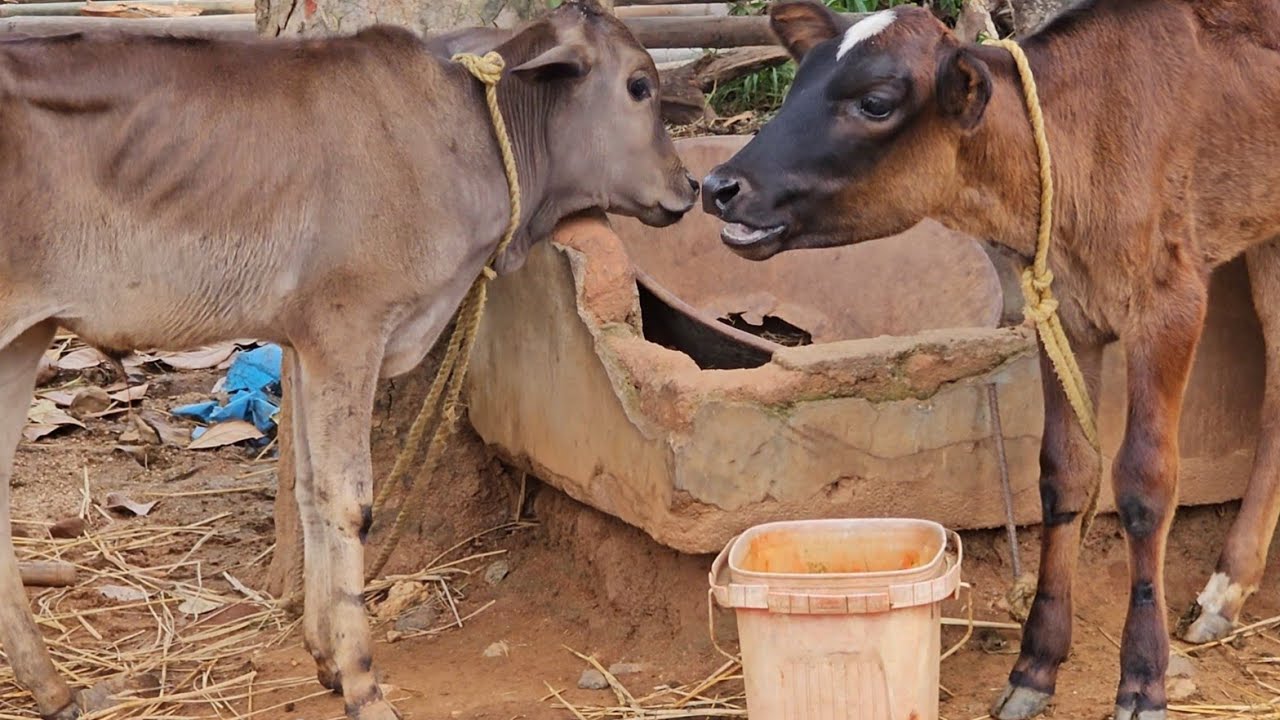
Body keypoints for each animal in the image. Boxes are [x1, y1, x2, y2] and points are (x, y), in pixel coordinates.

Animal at [0, 2, 698, 717]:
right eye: (639, 86)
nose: (690, 186)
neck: (467, 129)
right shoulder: (348, 331)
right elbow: (348, 502)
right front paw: (363, 682)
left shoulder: (302, 342)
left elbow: (307, 487)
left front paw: (325, 658)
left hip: (24, 339)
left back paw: (53, 689)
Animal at [700, 1, 1280, 718]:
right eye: (796, 82)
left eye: (875, 101)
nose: (718, 185)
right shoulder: (1062, 307)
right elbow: (1064, 473)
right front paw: (1035, 666)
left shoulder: (1170, 301)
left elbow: (1146, 483)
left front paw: (1143, 678)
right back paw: (1230, 589)